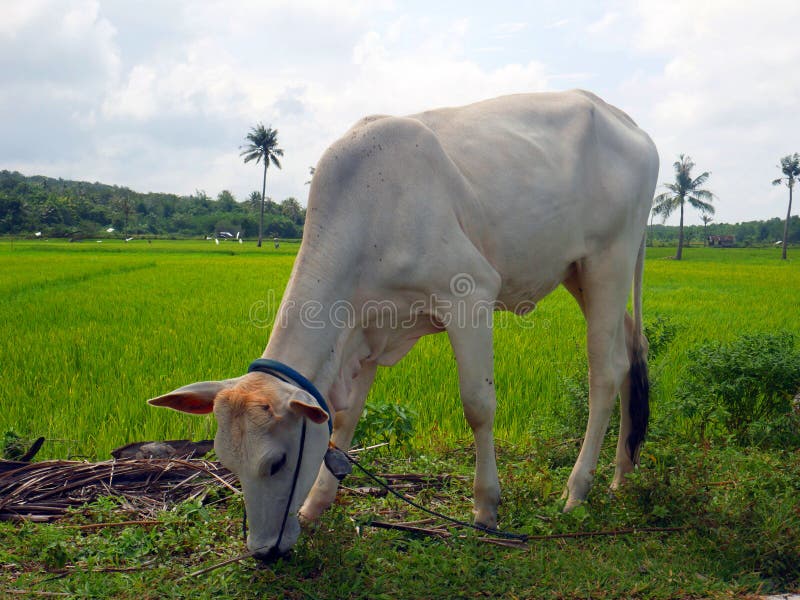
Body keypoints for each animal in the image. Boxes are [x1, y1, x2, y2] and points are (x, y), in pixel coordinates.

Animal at [149, 89, 659, 562]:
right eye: (228, 463)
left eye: (276, 463)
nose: (262, 552)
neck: (371, 209)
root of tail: (628, 121)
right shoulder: (367, 331)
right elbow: (344, 420)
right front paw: (316, 506)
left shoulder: (470, 294)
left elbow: (478, 407)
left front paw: (485, 508)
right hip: (579, 273)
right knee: (631, 351)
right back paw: (622, 473)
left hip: (608, 261)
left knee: (605, 370)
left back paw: (577, 490)